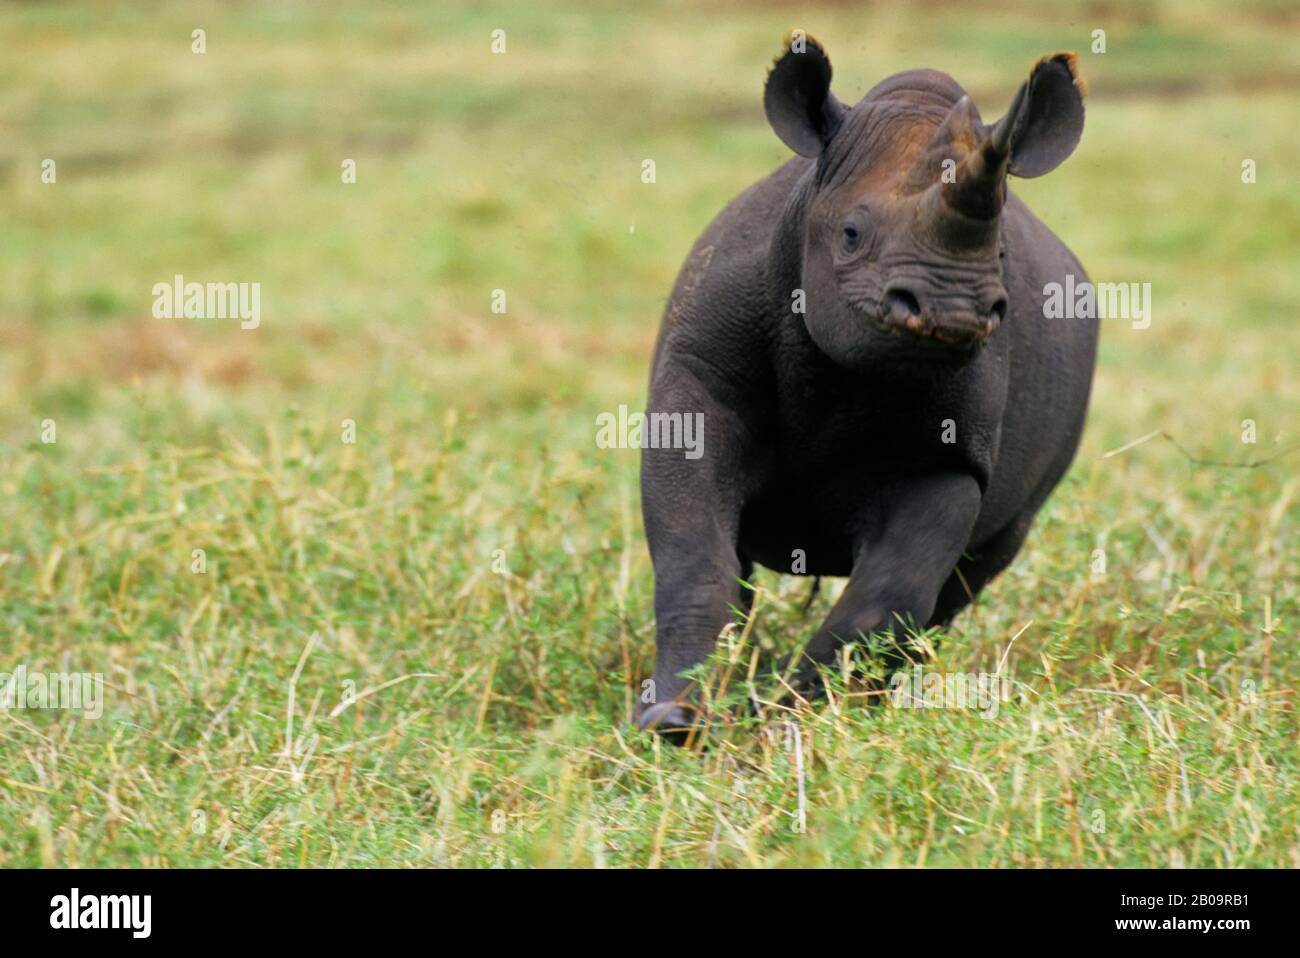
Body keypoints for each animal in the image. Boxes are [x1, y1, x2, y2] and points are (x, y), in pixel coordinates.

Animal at [637, 35, 1098, 736]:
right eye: (851, 236)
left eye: (999, 256)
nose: (951, 310)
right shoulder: (697, 387)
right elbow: (692, 553)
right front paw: (674, 721)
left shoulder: (947, 458)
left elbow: (890, 593)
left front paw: (791, 717)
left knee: (969, 576)